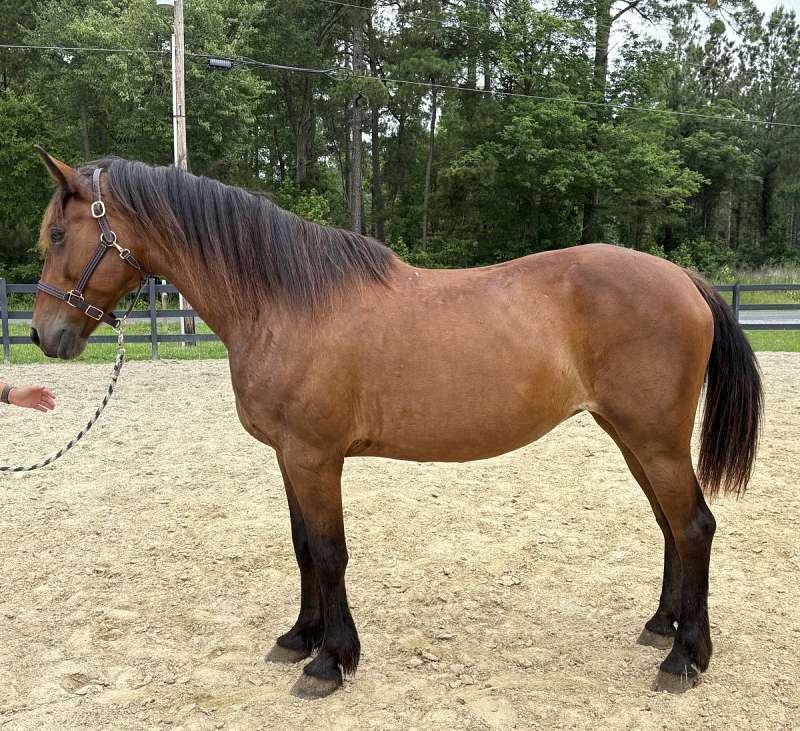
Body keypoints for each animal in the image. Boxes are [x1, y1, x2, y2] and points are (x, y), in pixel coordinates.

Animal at [30, 148, 762, 699]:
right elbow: (302, 546)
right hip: (631, 436)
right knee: (669, 525)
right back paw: (662, 626)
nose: (44, 335)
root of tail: (684, 279)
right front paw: (299, 636)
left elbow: (330, 551)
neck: (286, 301)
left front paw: (331, 661)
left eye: (59, 236)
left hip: (654, 439)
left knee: (693, 526)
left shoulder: (316, 456)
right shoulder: (288, 456)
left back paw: (685, 658)